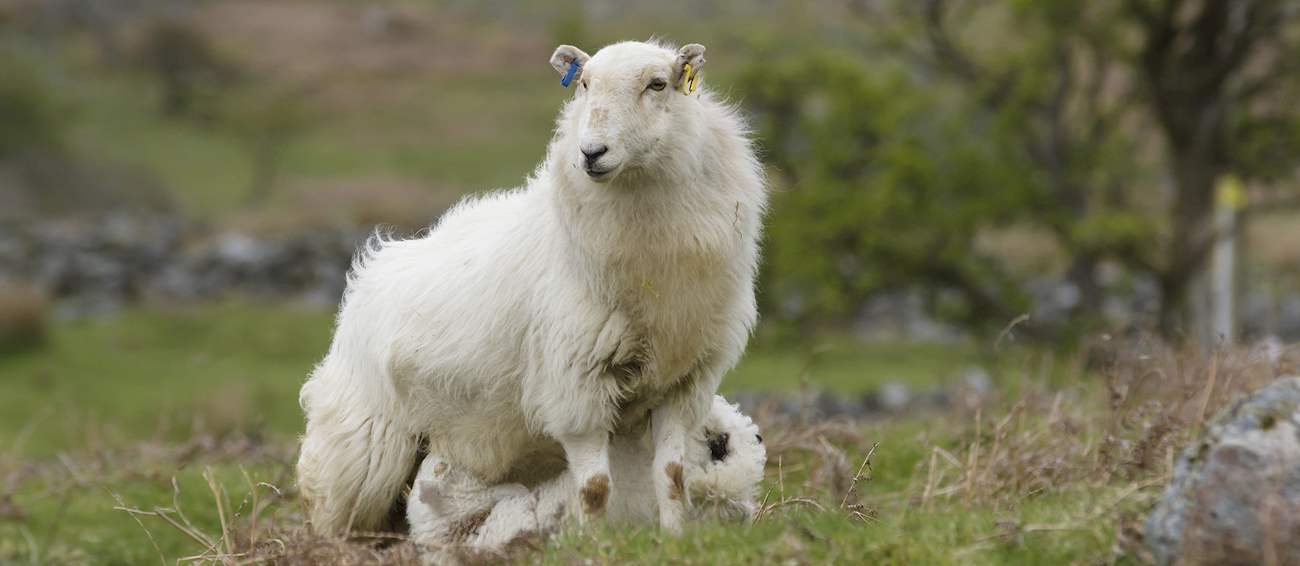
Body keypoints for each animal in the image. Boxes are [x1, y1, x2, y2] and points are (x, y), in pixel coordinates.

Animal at [296, 39, 766, 536]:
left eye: (658, 84)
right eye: (584, 84)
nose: (591, 153)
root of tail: (376, 260)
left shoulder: (683, 383)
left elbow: (673, 474)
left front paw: (674, 535)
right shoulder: (575, 385)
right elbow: (595, 486)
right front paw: (594, 541)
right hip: (364, 443)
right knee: (336, 509)